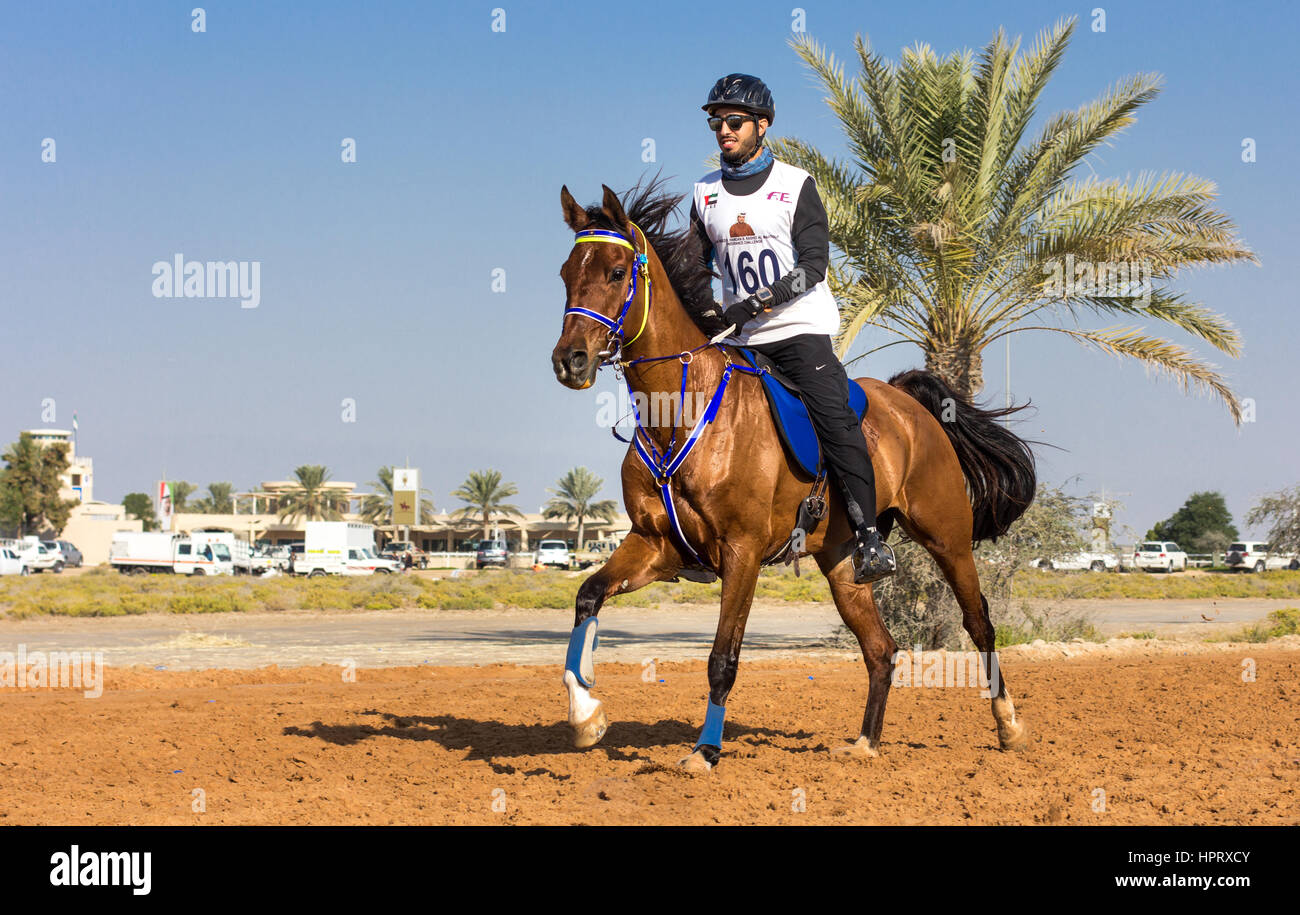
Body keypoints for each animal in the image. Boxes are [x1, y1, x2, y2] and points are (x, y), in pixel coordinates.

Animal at [551, 177, 1037, 772]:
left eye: (618, 272)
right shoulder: (654, 545)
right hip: (843, 562)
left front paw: (705, 752)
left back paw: (1010, 726)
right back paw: (866, 743)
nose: (570, 360)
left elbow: (723, 658)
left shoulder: (741, 551)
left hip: (947, 536)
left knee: (979, 622)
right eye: (567, 273)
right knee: (881, 649)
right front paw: (585, 716)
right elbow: (587, 596)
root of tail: (908, 401)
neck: (680, 411)